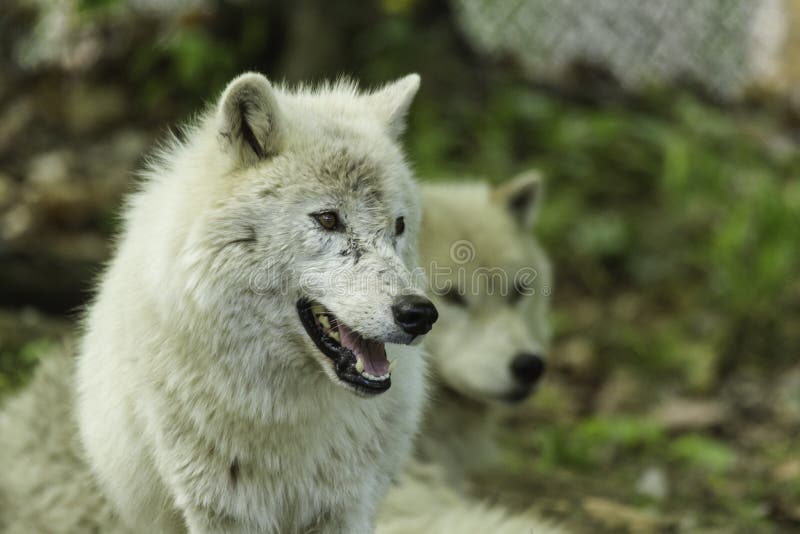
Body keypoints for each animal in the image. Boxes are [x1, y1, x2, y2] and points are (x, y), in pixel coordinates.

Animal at [0, 72, 437, 533]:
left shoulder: (347, 505)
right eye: (328, 220)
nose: (419, 314)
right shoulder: (218, 507)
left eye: (399, 226)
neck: (281, 412)